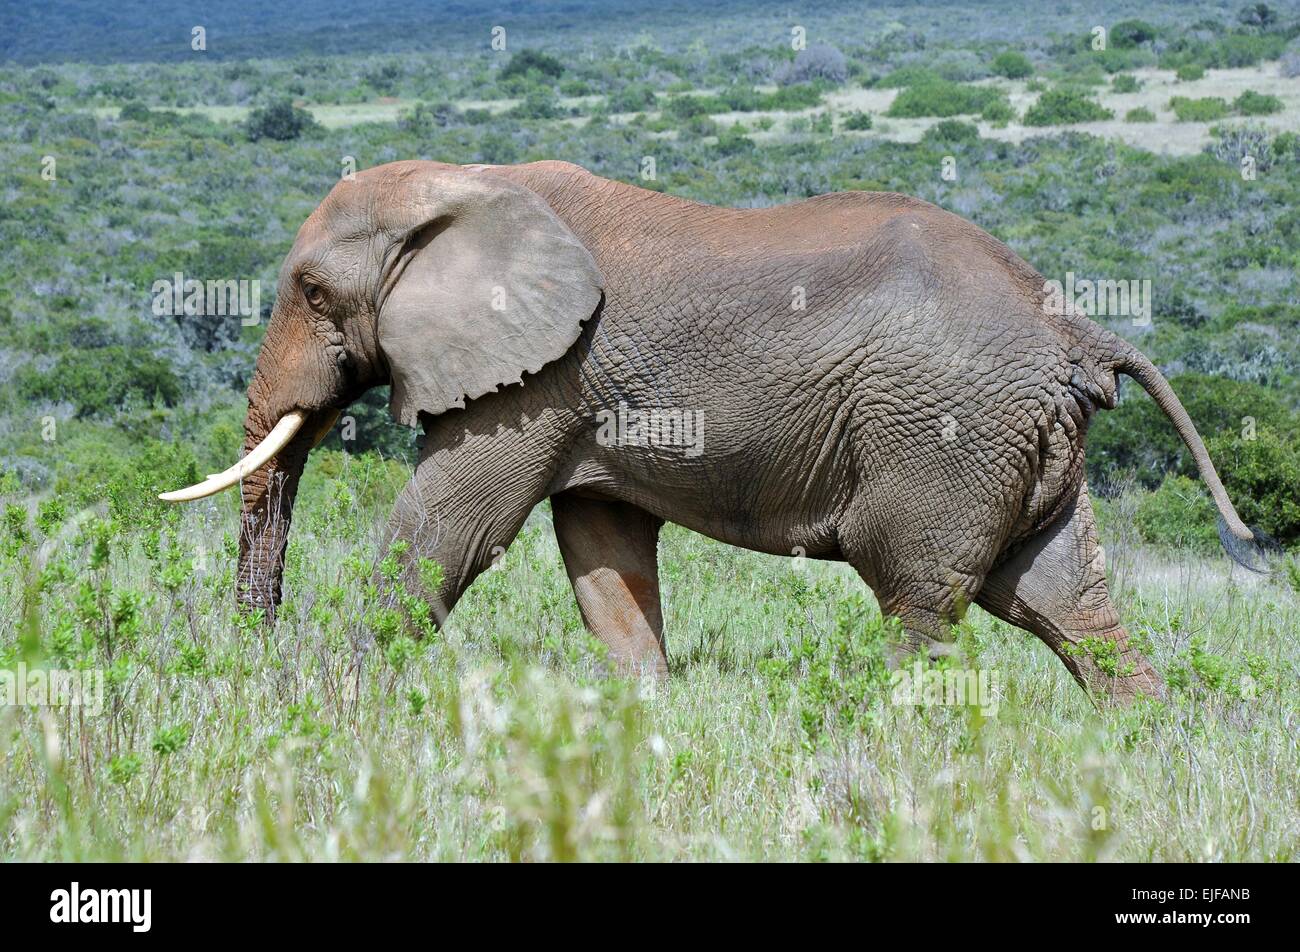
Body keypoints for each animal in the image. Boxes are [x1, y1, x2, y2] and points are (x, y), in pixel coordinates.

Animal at [162, 159, 1260, 702]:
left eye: (312, 291)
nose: (250, 669)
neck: (461, 180)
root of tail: (1071, 323)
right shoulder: (579, 396)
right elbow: (602, 552)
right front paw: (648, 716)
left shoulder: (538, 379)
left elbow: (448, 528)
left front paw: (330, 707)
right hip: (1019, 442)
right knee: (1064, 600)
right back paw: (1143, 745)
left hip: (944, 432)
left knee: (919, 595)